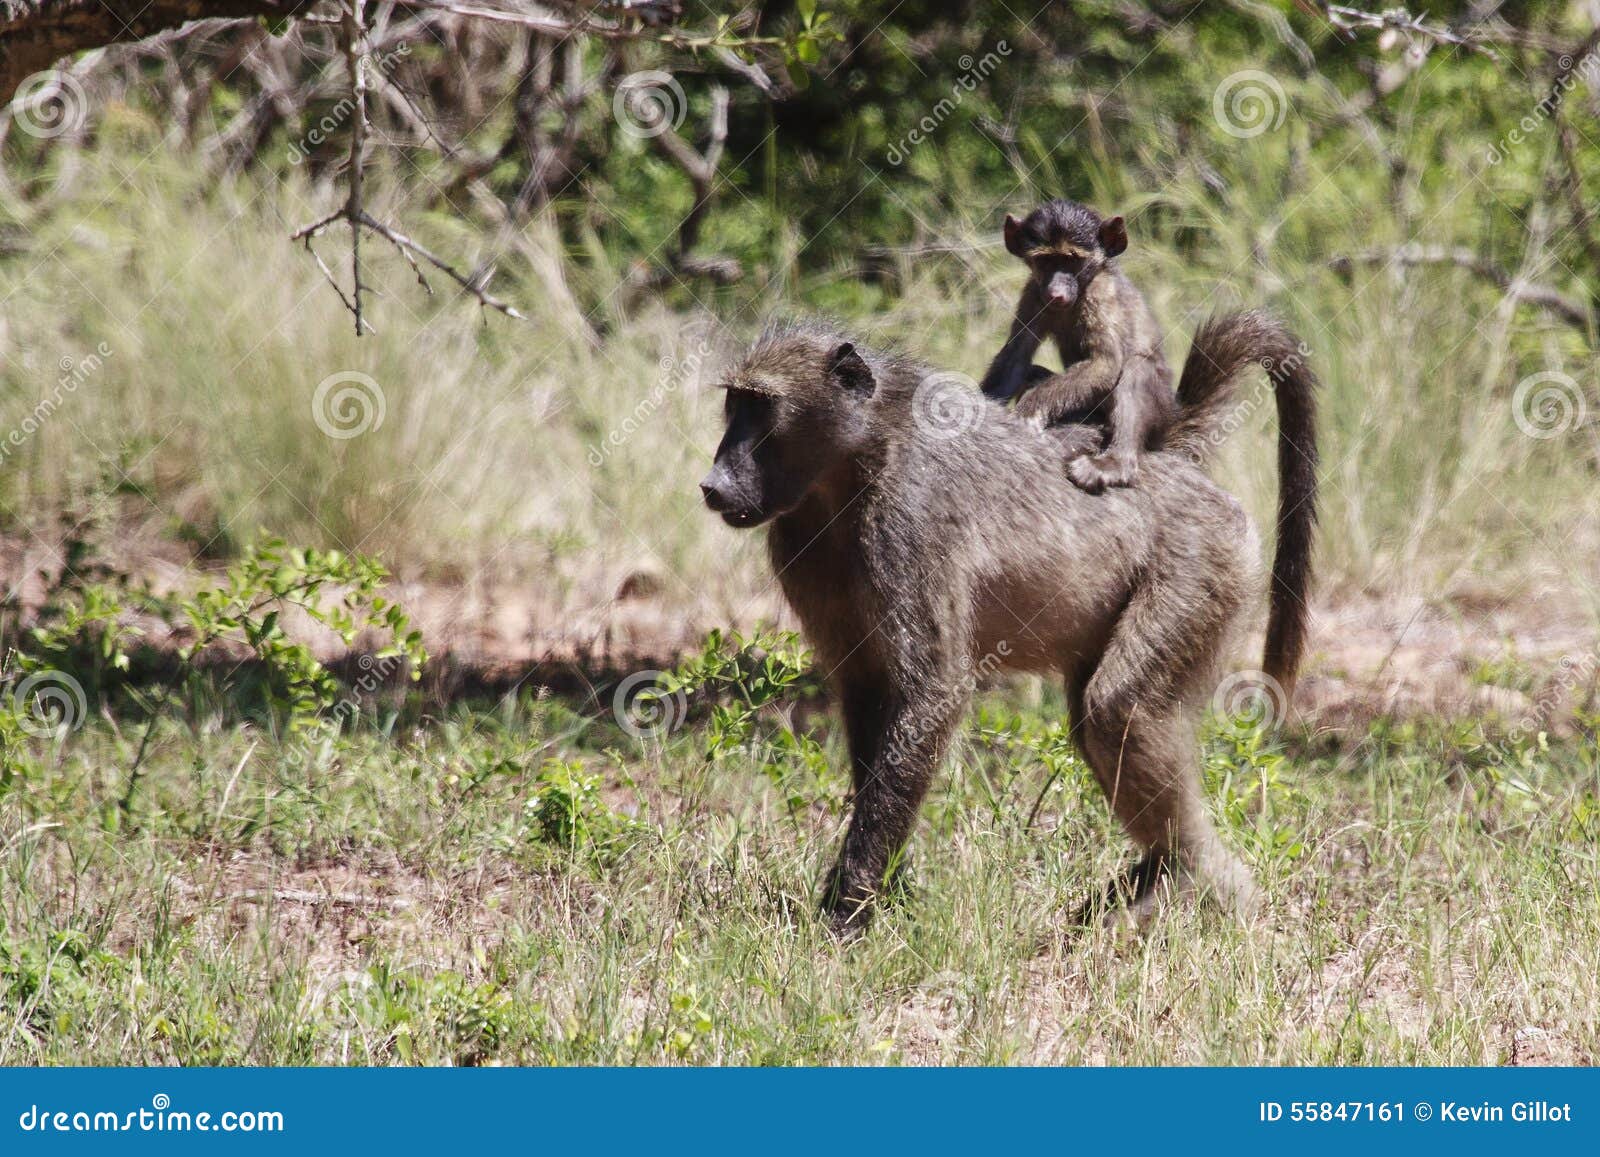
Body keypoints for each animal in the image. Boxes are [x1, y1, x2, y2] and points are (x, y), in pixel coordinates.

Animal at [700, 310, 1317, 935]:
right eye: (735, 400)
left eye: (761, 406)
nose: (714, 485)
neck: (858, 462)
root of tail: (1169, 464)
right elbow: (868, 692)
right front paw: (886, 897)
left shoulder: (910, 518)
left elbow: (932, 692)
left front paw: (844, 918)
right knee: (1098, 720)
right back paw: (1146, 885)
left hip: (1204, 564)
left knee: (1118, 710)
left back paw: (1197, 878)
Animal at [980, 199, 1174, 494]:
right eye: (1046, 260)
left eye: (1071, 260)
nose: (1056, 293)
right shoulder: (1034, 293)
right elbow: (1016, 357)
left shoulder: (1100, 295)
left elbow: (1106, 364)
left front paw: (1028, 411)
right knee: (1032, 372)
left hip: (1162, 413)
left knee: (1136, 368)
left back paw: (1114, 465)